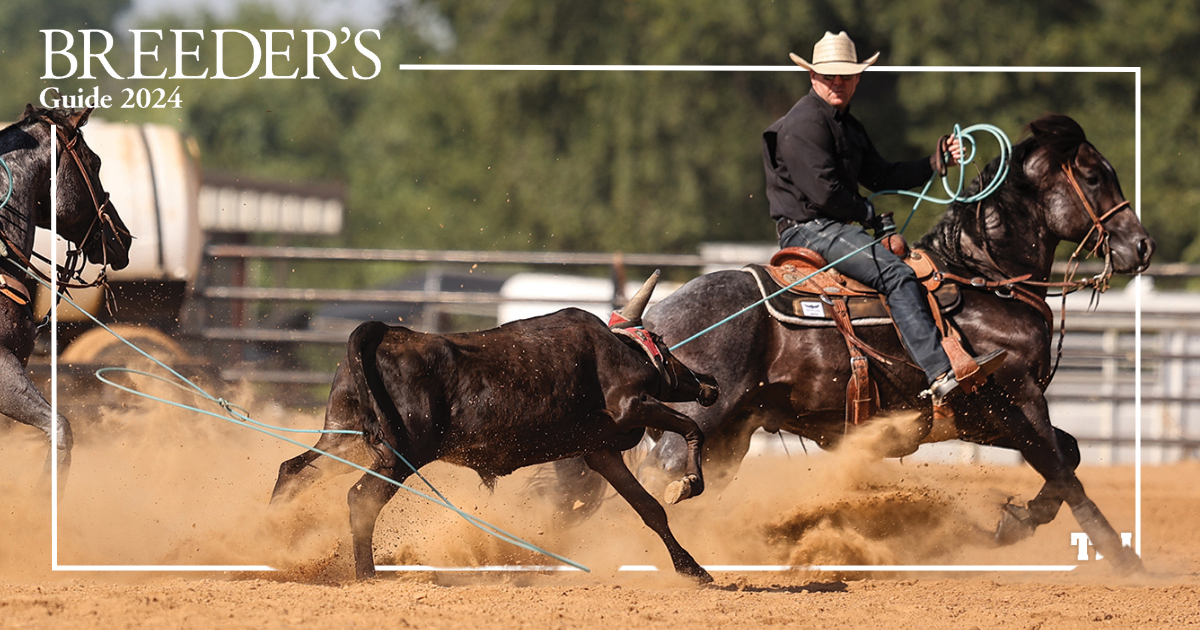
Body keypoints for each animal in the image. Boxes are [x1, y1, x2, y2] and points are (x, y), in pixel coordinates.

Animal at [551, 114, 1154, 571]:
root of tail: (656, 321)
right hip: (693, 431)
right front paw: (1124, 560)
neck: (986, 282)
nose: (1142, 246)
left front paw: (1014, 522)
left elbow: (1068, 457)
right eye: (1094, 175)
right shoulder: (1014, 399)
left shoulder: (982, 418)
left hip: (727, 440)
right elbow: (1066, 474)